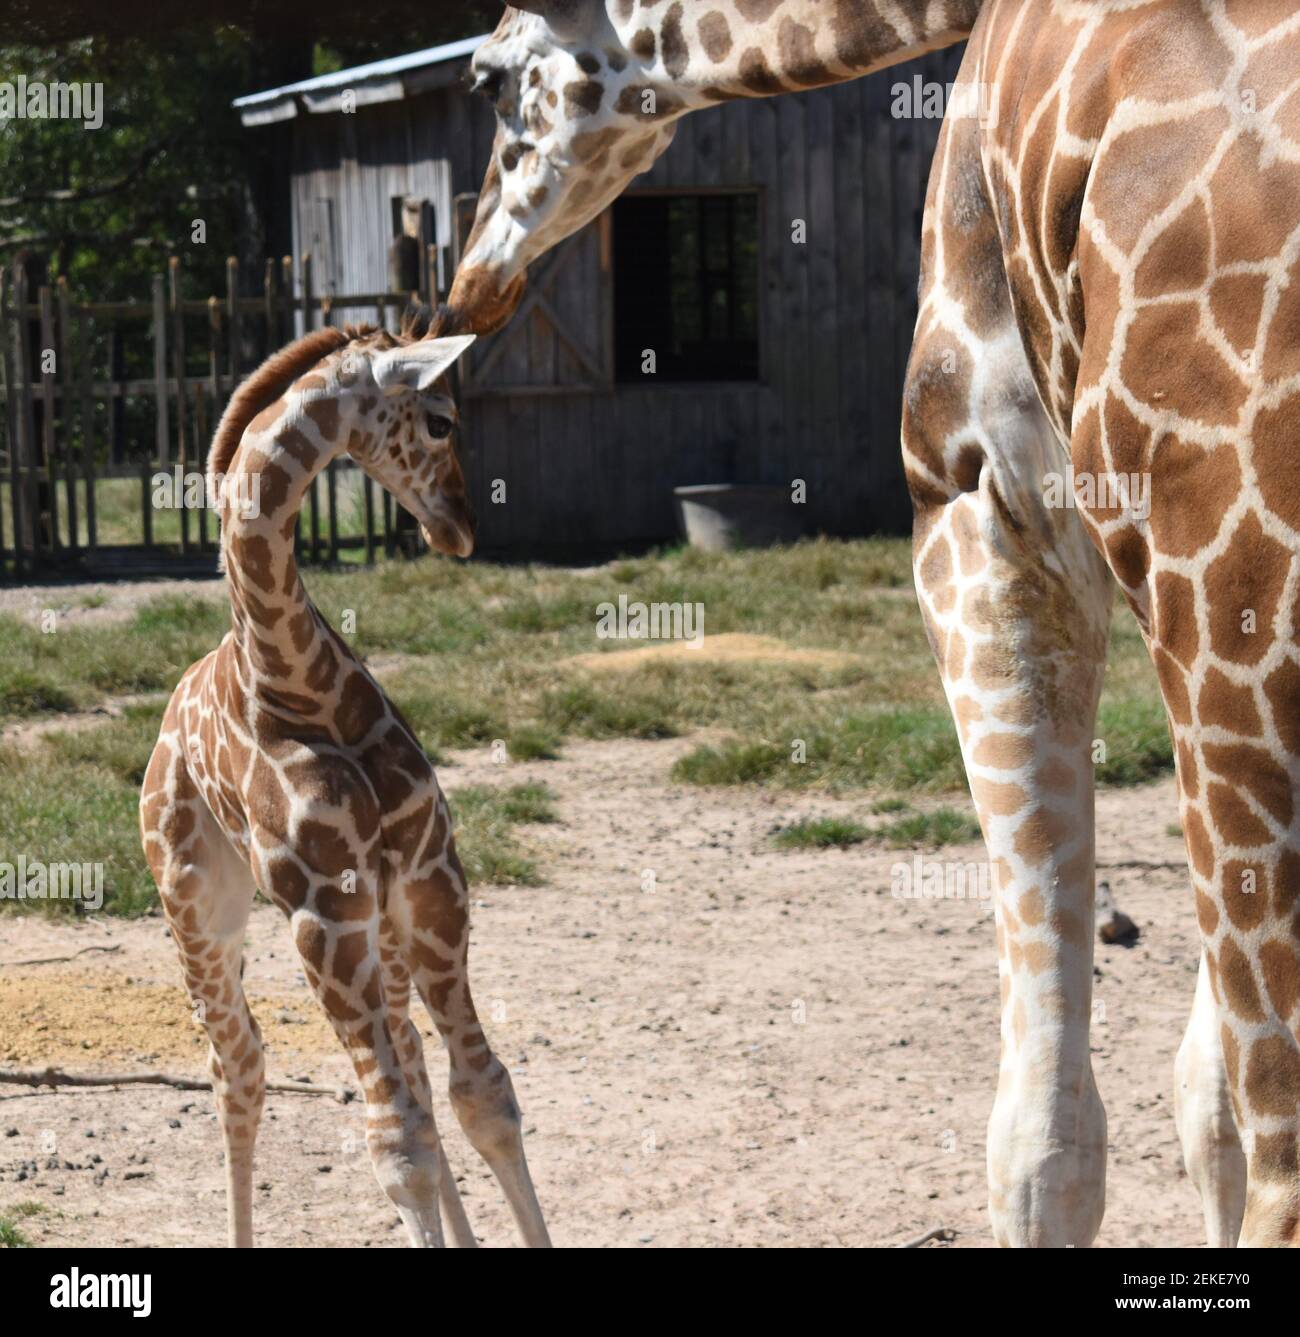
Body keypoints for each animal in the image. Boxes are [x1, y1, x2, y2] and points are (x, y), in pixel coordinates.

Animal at [138, 318, 551, 1248]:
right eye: (440, 419)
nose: (460, 525)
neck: (299, 679)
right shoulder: (321, 913)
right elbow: (394, 1141)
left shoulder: (432, 883)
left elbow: (483, 1096)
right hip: (199, 911)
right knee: (238, 1065)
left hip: (382, 932)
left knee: (418, 1066)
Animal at [430, 1, 1300, 1247]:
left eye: (489, 79)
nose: (466, 295)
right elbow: (1199, 1089)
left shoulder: (979, 506)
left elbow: (1041, 1146)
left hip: (1233, 611)